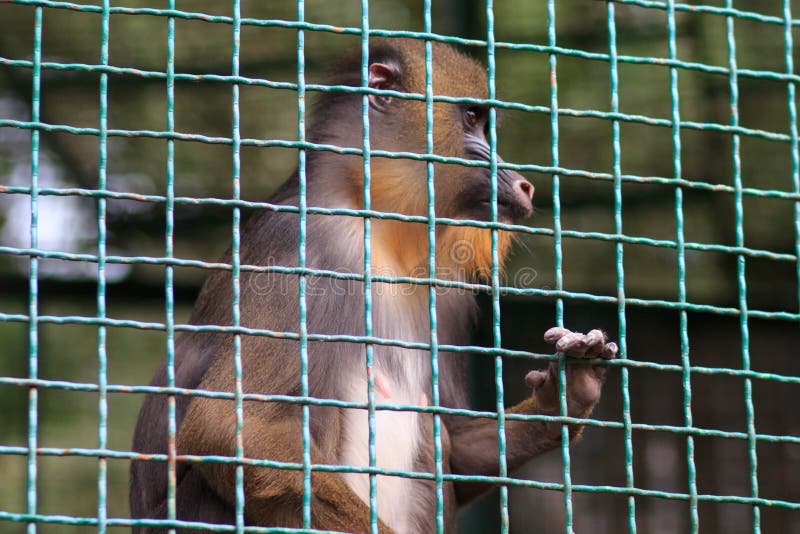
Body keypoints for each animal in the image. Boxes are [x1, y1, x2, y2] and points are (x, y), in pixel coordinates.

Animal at [130, 38, 617, 534]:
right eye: (470, 118)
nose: (525, 186)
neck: (380, 227)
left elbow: (458, 444)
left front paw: (568, 391)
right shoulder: (300, 246)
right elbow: (230, 427)